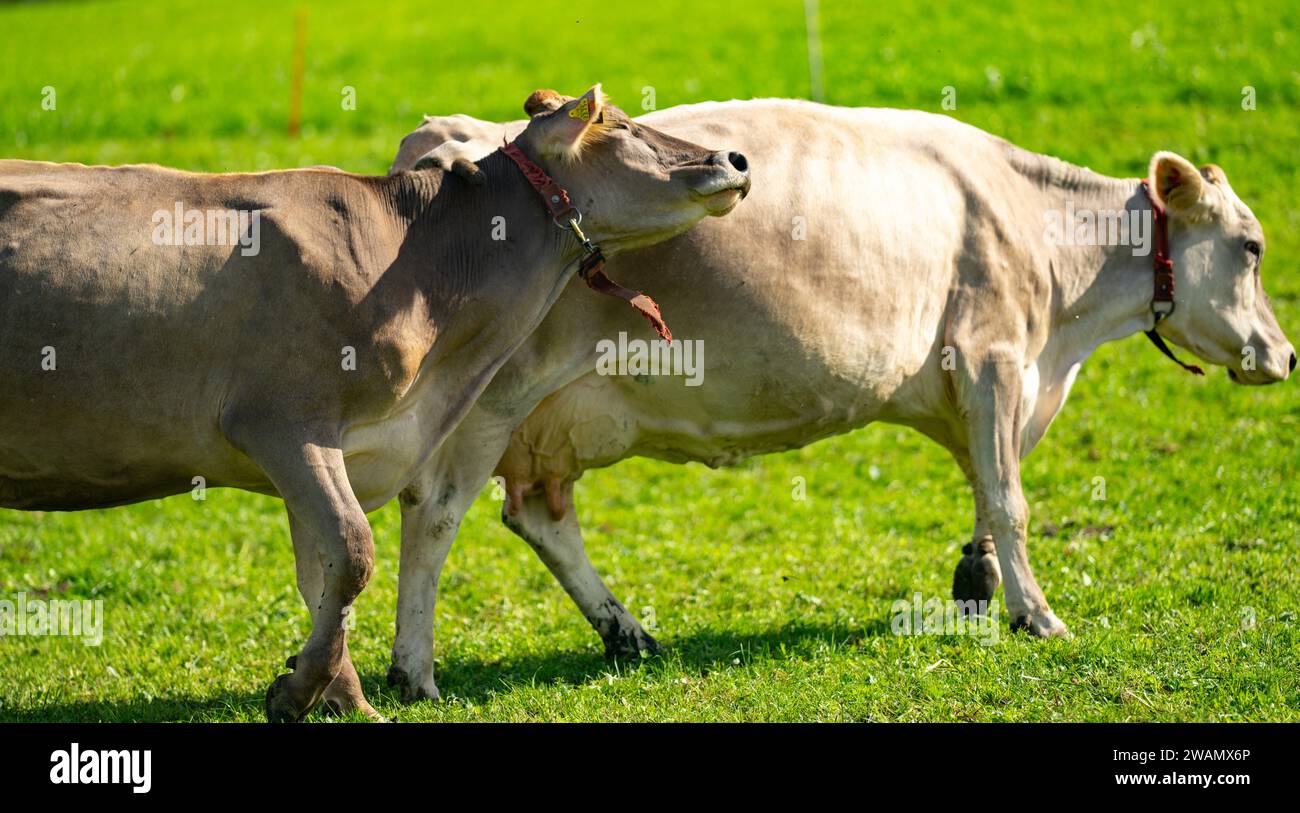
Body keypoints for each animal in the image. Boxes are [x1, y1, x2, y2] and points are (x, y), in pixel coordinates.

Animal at [0, 85, 751, 721]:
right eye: (616, 125)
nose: (735, 158)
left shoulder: (337, 446)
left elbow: (323, 572)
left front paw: (345, 699)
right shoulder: (282, 423)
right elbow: (355, 553)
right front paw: (297, 691)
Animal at [377, 98, 1295, 706]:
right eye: (1251, 247)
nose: (1286, 355)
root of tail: (451, 136)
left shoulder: (983, 384)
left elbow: (987, 485)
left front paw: (977, 578)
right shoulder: (994, 355)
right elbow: (1010, 497)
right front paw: (1037, 614)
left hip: (550, 425)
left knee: (539, 515)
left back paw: (627, 631)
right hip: (484, 405)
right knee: (434, 516)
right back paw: (411, 670)